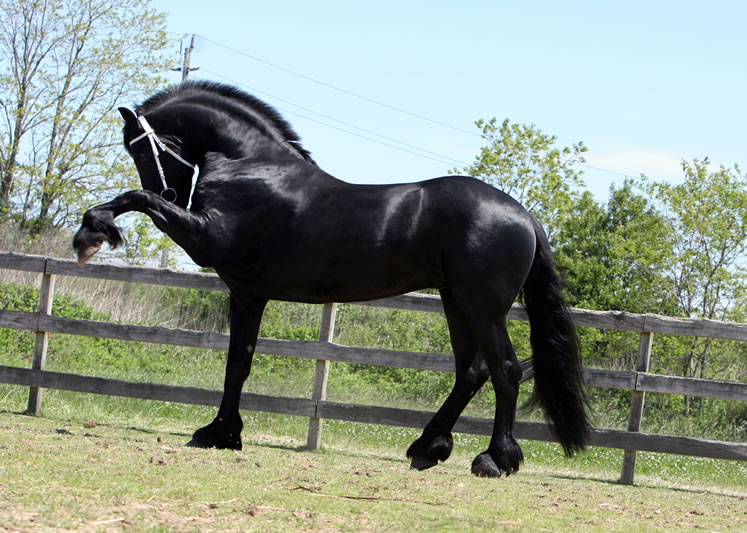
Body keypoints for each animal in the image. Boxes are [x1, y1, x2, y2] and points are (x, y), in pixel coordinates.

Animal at [73, 81, 589, 478]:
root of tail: (524, 215)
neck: (251, 166)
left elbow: (135, 198)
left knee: (505, 371)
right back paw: (428, 448)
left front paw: (92, 233)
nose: (172, 192)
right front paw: (221, 433)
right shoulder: (247, 293)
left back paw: (494, 459)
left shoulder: (205, 239)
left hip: (483, 306)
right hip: (455, 300)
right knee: (472, 371)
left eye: (140, 147)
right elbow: (238, 364)